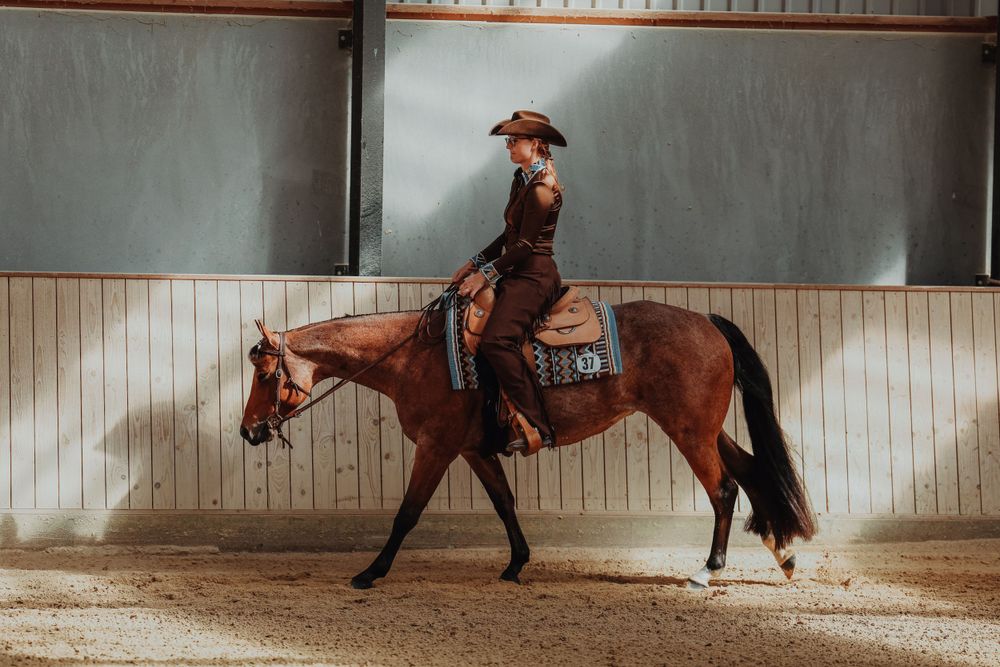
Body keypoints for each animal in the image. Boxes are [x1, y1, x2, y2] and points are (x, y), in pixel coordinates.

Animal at [239, 295, 816, 590]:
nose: (248, 431)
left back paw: (709, 569)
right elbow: (504, 503)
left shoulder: (436, 445)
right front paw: (516, 564)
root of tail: (707, 320)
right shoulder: (473, 449)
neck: (415, 356)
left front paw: (371, 572)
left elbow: (408, 513)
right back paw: (783, 555)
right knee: (751, 471)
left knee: (723, 490)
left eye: (266, 375)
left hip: (689, 430)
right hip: (704, 427)